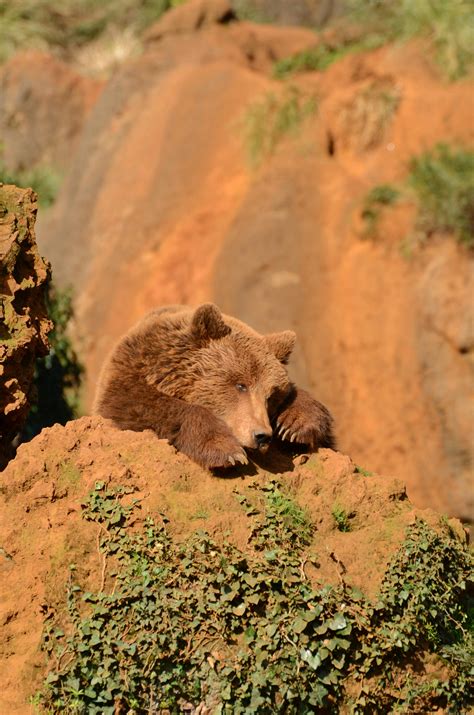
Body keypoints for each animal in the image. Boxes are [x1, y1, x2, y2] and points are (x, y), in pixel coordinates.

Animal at [93, 303, 334, 468]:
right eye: (240, 385)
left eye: (271, 396)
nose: (262, 435)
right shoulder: (125, 380)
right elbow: (143, 406)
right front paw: (225, 450)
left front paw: (294, 426)